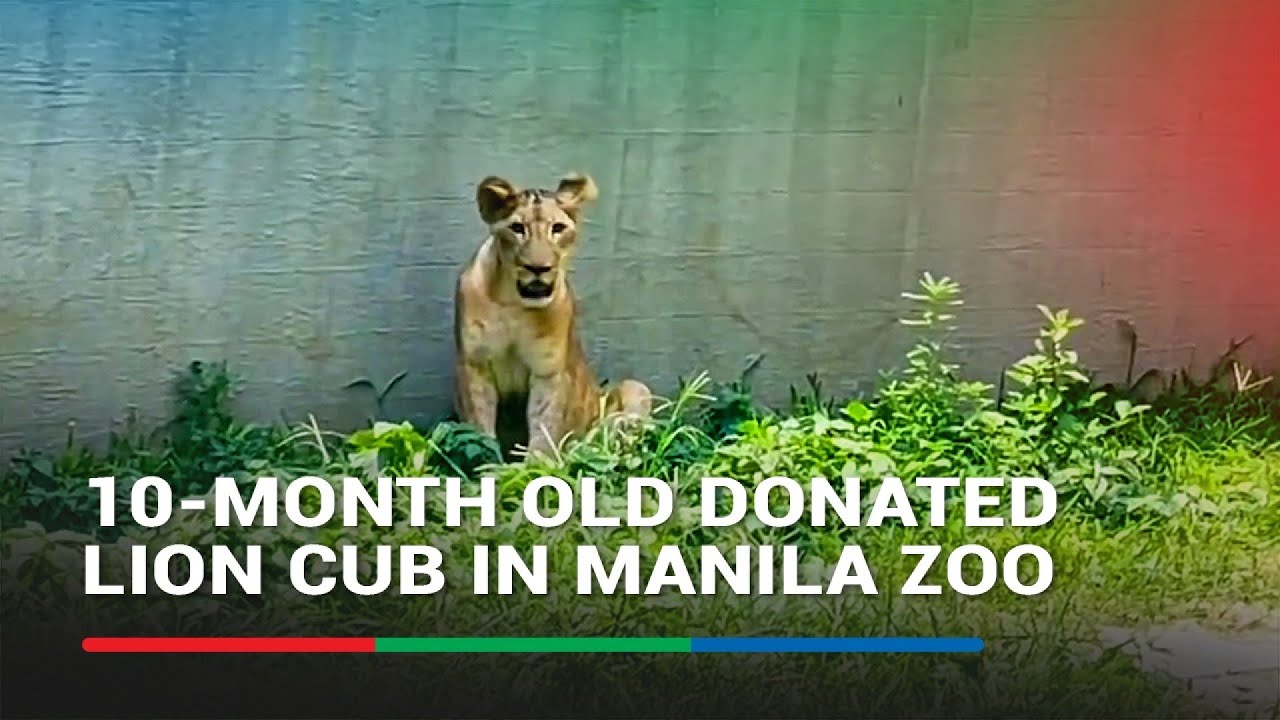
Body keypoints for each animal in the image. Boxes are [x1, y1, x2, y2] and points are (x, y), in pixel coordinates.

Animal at [451, 172, 652, 458]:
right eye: (517, 228)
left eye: (557, 228)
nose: (539, 268)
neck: (513, 303)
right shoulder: (475, 365)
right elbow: (480, 428)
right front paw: (486, 462)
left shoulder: (549, 371)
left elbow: (545, 428)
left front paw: (535, 465)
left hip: (635, 387)